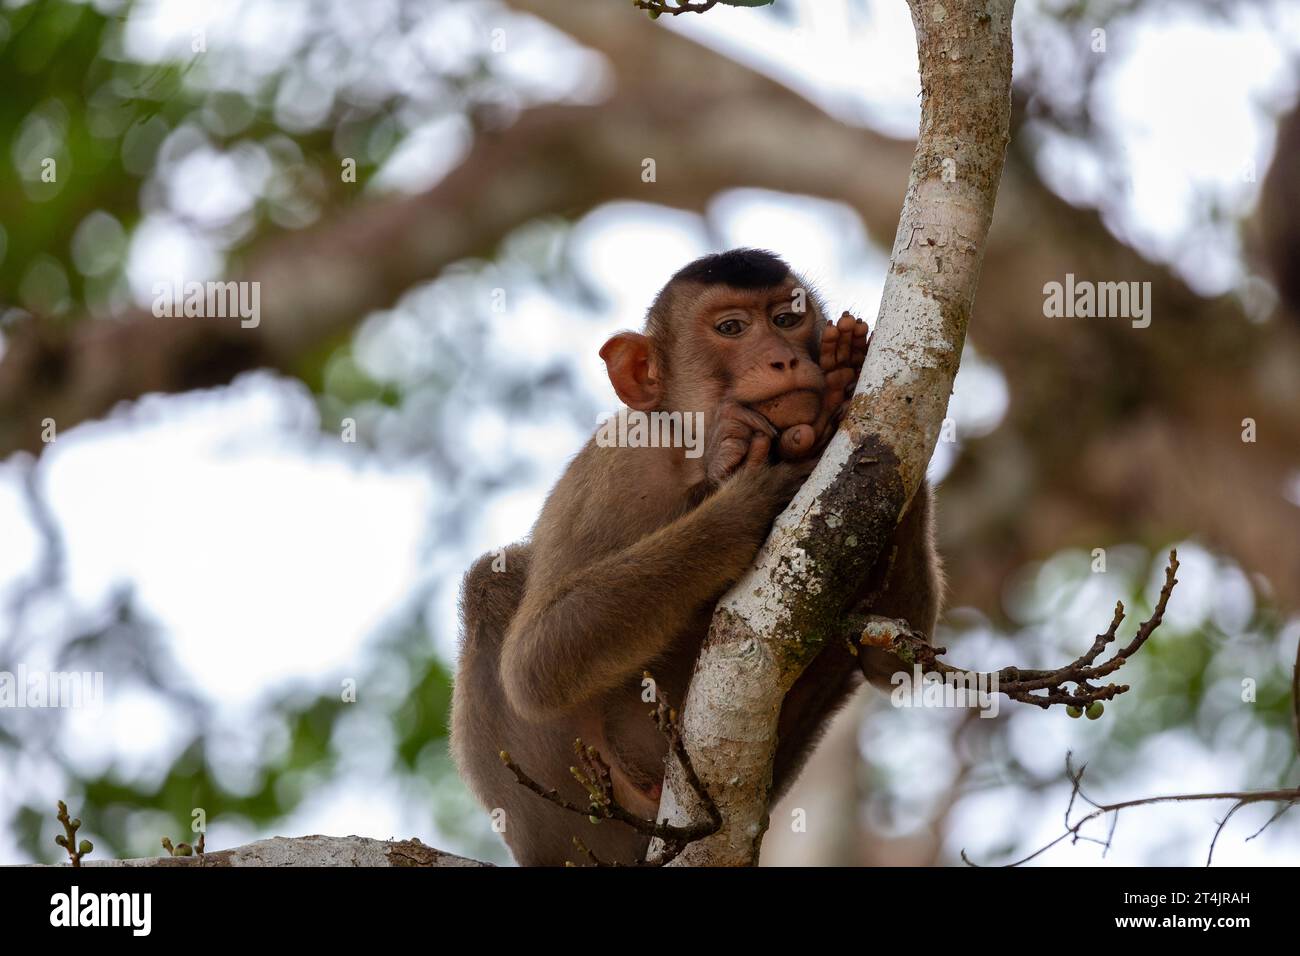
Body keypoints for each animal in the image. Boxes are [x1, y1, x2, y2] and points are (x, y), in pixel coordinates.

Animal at [450, 249, 942, 866]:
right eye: (731, 328)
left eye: (786, 319)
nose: (784, 357)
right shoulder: (615, 466)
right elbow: (536, 663)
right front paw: (739, 494)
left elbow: (892, 661)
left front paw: (847, 378)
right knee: (492, 585)